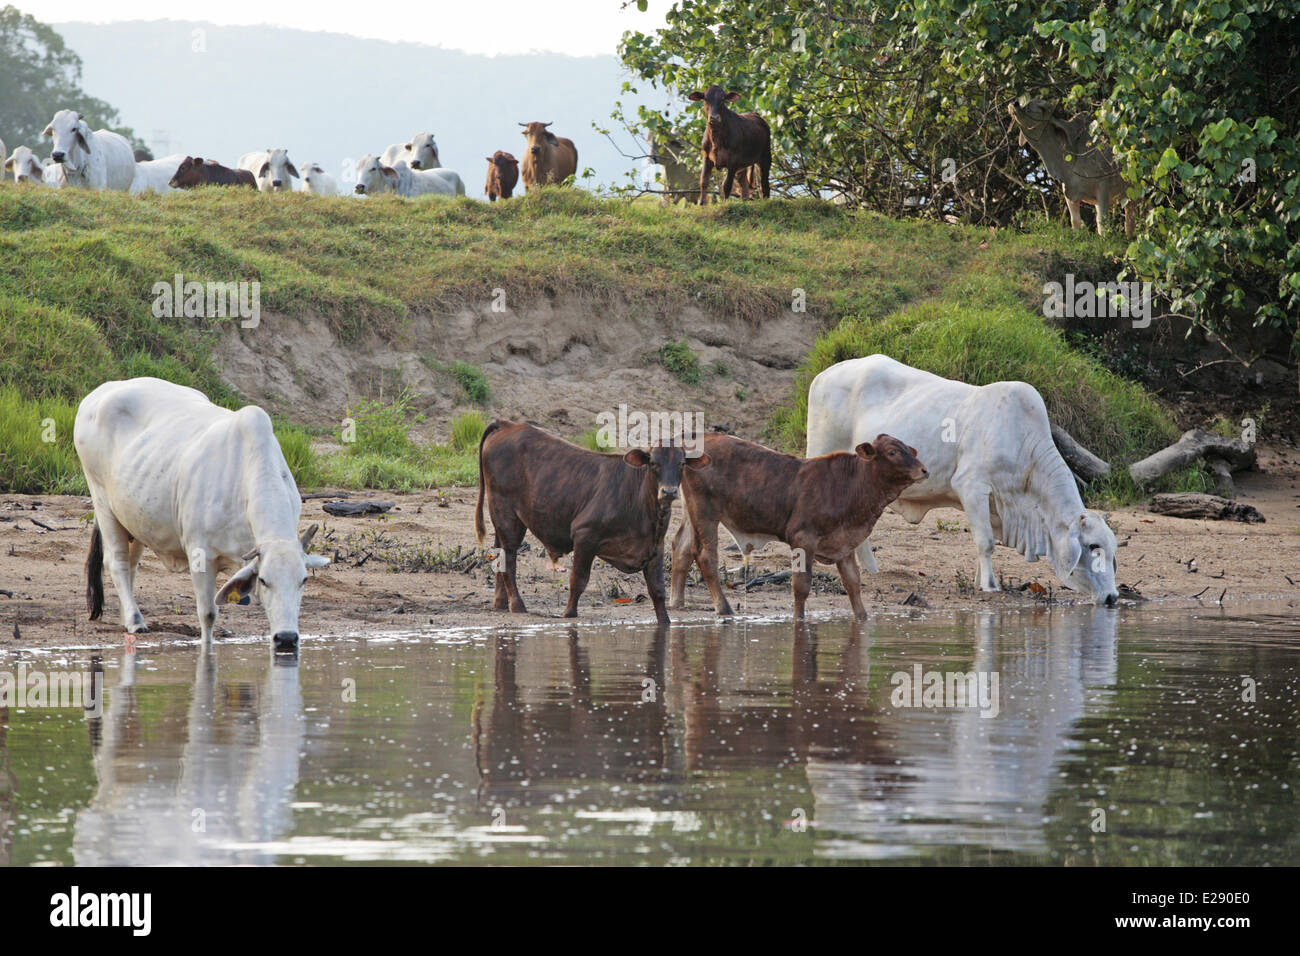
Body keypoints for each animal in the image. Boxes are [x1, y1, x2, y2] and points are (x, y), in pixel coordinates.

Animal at [74, 378, 330, 650]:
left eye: (304, 580)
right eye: (263, 580)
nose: (287, 638)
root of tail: (102, 390)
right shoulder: (200, 556)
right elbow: (207, 615)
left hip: (134, 518)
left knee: (131, 566)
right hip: (103, 502)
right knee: (117, 563)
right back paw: (135, 620)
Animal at [474, 420, 709, 625]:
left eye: (681, 463)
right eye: (653, 463)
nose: (668, 491)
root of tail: (508, 424)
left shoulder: (655, 546)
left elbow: (658, 590)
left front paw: (665, 620)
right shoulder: (585, 535)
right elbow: (578, 580)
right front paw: (569, 614)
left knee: (500, 552)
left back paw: (500, 602)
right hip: (505, 512)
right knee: (509, 555)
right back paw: (517, 604)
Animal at [669, 433, 927, 620]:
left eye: (910, 449)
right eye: (892, 452)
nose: (924, 470)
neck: (851, 485)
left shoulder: (844, 543)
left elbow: (853, 583)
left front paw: (862, 618)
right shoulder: (803, 539)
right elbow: (801, 586)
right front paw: (798, 620)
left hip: (691, 513)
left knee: (681, 548)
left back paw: (677, 602)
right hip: (705, 512)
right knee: (705, 556)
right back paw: (723, 608)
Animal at [805, 354, 1120, 605]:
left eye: (1113, 547)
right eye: (1093, 546)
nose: (1112, 597)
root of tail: (824, 374)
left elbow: (984, 543)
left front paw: (979, 581)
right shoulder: (971, 487)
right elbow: (986, 543)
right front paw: (990, 586)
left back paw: (871, 570)